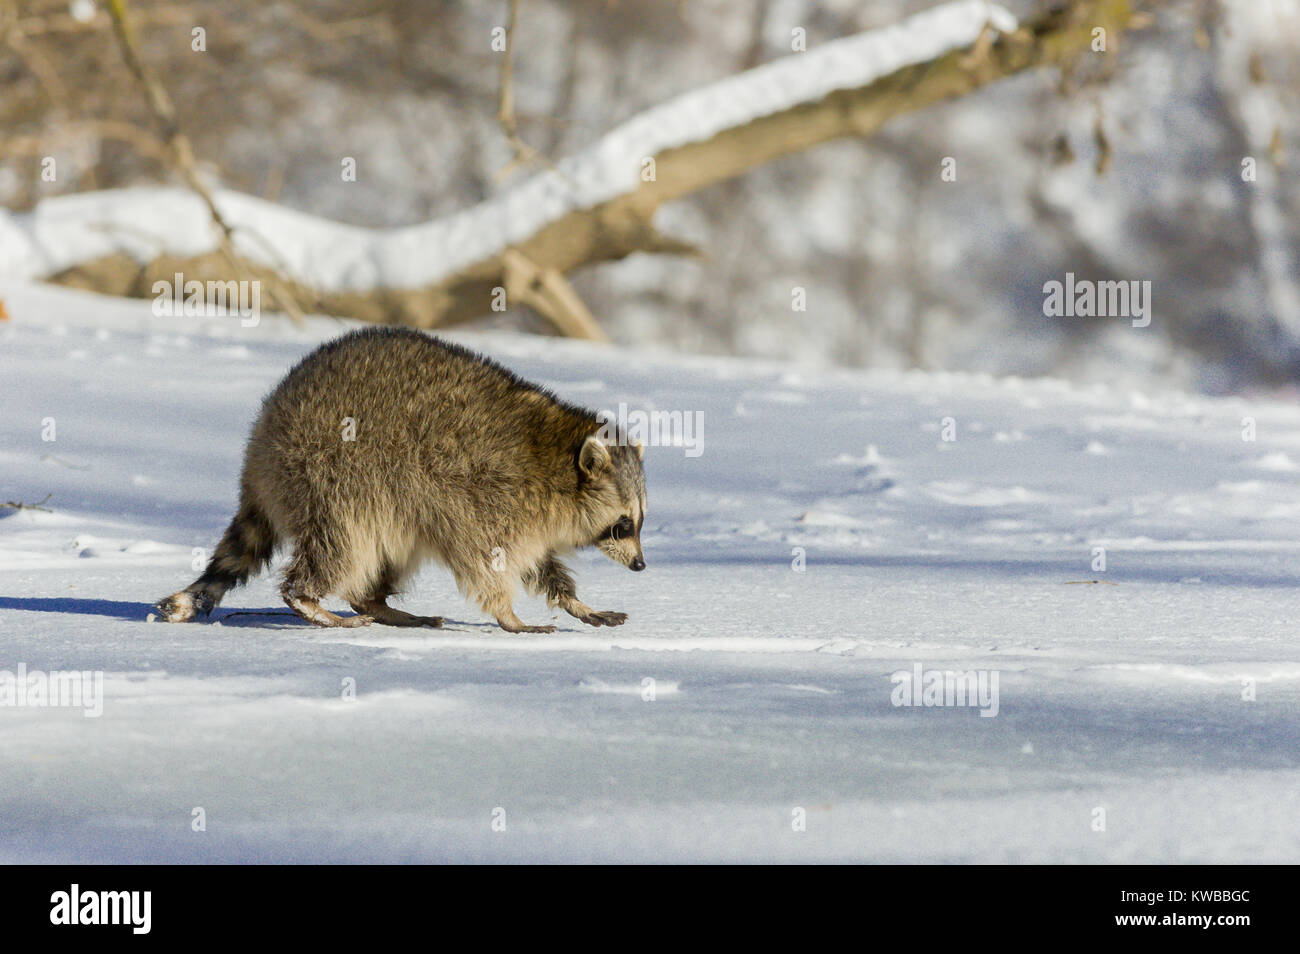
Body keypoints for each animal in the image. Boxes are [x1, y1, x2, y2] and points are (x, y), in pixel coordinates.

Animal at [154, 327, 646, 632]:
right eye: (623, 524)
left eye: (640, 520)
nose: (642, 566)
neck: (556, 462)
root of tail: (259, 445)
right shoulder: (485, 499)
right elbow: (486, 562)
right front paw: (509, 615)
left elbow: (542, 566)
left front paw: (574, 601)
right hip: (327, 474)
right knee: (342, 544)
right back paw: (311, 600)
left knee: (386, 554)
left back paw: (377, 604)